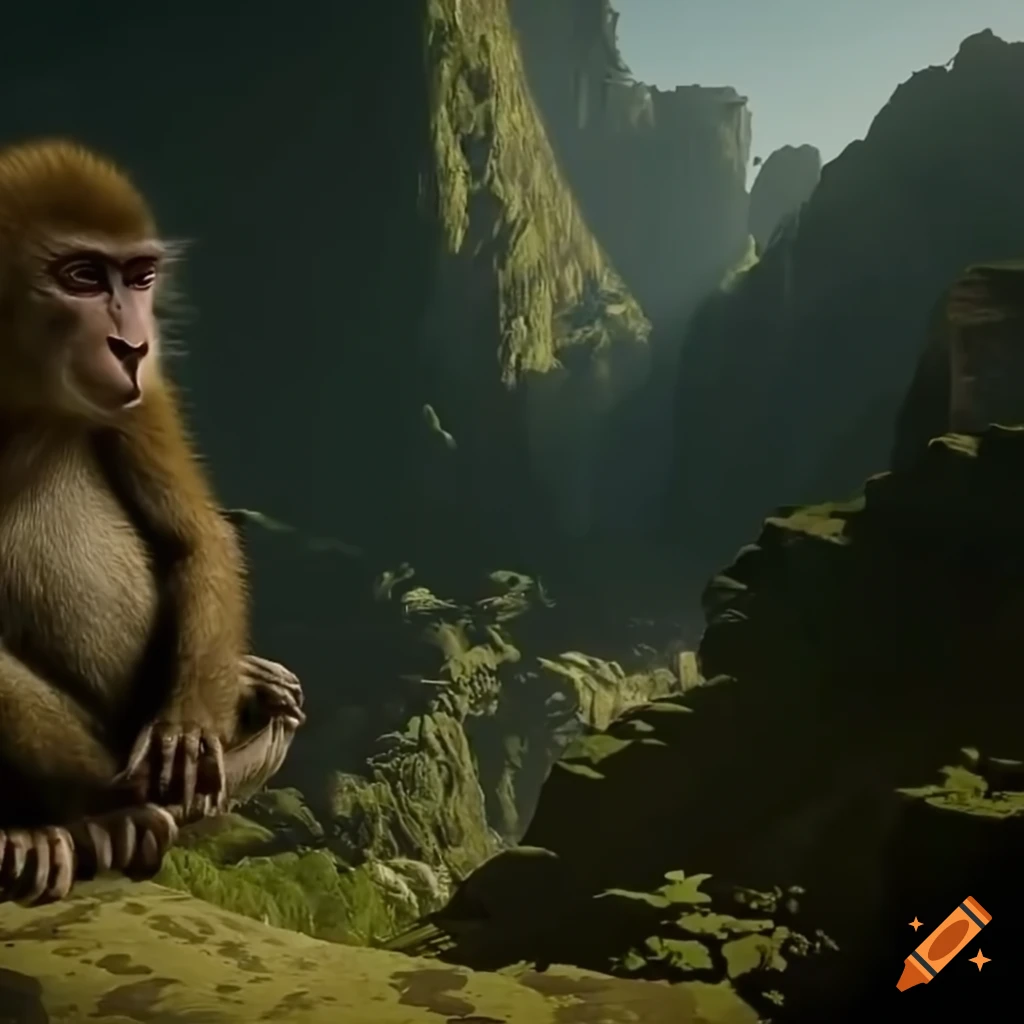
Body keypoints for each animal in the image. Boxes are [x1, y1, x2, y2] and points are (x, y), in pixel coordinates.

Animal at [0, 139, 305, 907]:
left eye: (138, 277)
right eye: (81, 277)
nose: (131, 344)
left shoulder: (145, 390)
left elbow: (197, 537)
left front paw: (188, 728)